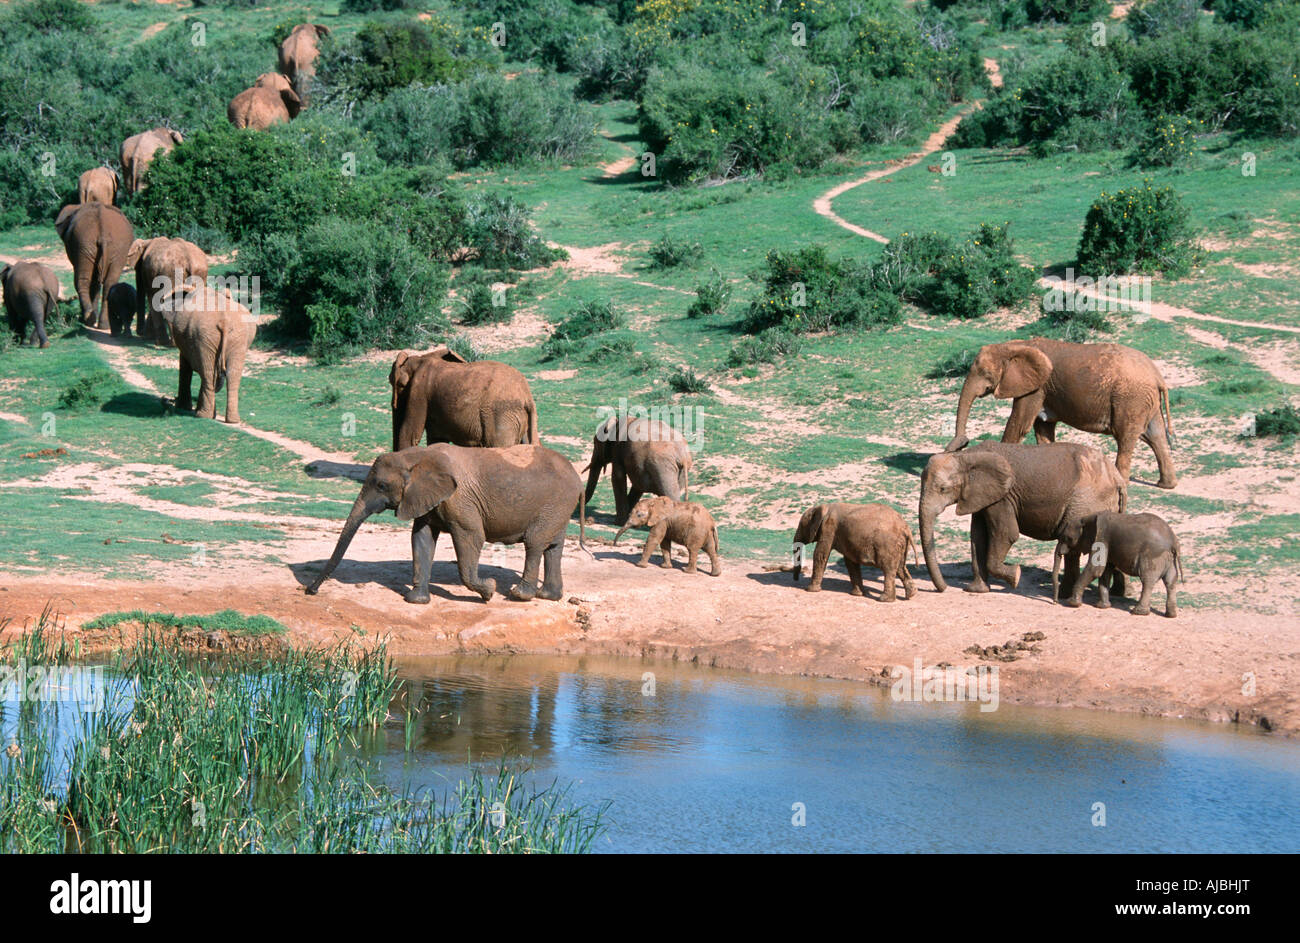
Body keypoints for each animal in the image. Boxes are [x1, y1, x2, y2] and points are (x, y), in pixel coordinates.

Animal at [164, 284, 255, 424]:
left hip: (208, 336)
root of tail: (224, 322)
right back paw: (231, 420)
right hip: (232, 339)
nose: (169, 400)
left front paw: (183, 408)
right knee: (228, 374)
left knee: (208, 373)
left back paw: (203, 415)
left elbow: (185, 366)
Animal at [306, 444, 586, 604]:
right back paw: (548, 596)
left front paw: (489, 591)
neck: (415, 455)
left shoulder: (460, 500)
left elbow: (471, 536)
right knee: (553, 547)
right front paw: (415, 600)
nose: (311, 591)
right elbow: (421, 538)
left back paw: (519, 596)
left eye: (381, 485)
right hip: (560, 506)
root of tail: (578, 479)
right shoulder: (424, 498)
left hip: (555, 502)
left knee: (535, 542)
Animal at [389, 347, 539, 451]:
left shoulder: (419, 392)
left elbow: (409, 435)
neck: (419, 359)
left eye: (399, 385)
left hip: (501, 416)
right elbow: (436, 440)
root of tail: (527, 396)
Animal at [919, 441, 1126, 595]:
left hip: (1086, 501)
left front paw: (1016, 576)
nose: (944, 588)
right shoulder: (982, 496)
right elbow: (977, 536)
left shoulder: (1003, 497)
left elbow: (1007, 534)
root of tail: (1117, 478)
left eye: (943, 489)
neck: (965, 456)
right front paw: (977, 590)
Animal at [945, 338, 1177, 489]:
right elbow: (1042, 428)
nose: (962, 443)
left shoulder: (1036, 388)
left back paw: (1122, 482)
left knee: (1125, 437)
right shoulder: (1044, 389)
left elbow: (1020, 424)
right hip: (1144, 400)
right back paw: (1166, 485)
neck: (1012, 346)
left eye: (985, 373)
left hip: (1130, 399)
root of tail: (1158, 376)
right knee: (1155, 436)